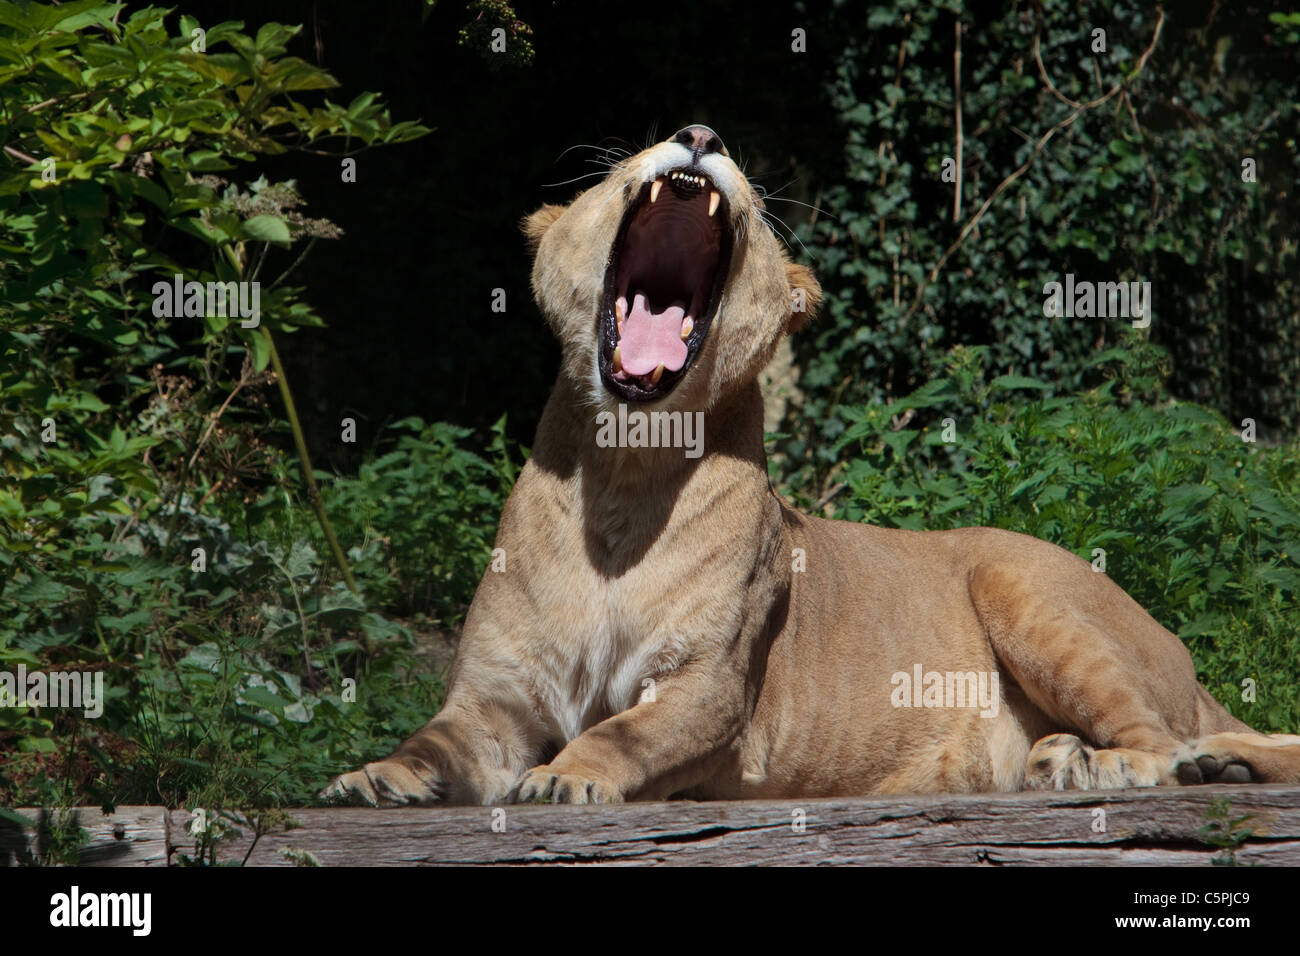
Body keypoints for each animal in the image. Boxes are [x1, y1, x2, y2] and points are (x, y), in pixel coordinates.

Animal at [323, 124, 1300, 806]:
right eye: (616, 164)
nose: (702, 135)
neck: (624, 471)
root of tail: (1181, 657)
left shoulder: (711, 689)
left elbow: (625, 735)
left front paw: (568, 774)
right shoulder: (493, 699)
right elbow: (431, 741)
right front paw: (371, 776)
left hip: (1025, 587)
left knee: (1161, 741)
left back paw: (1107, 765)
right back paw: (1184, 766)